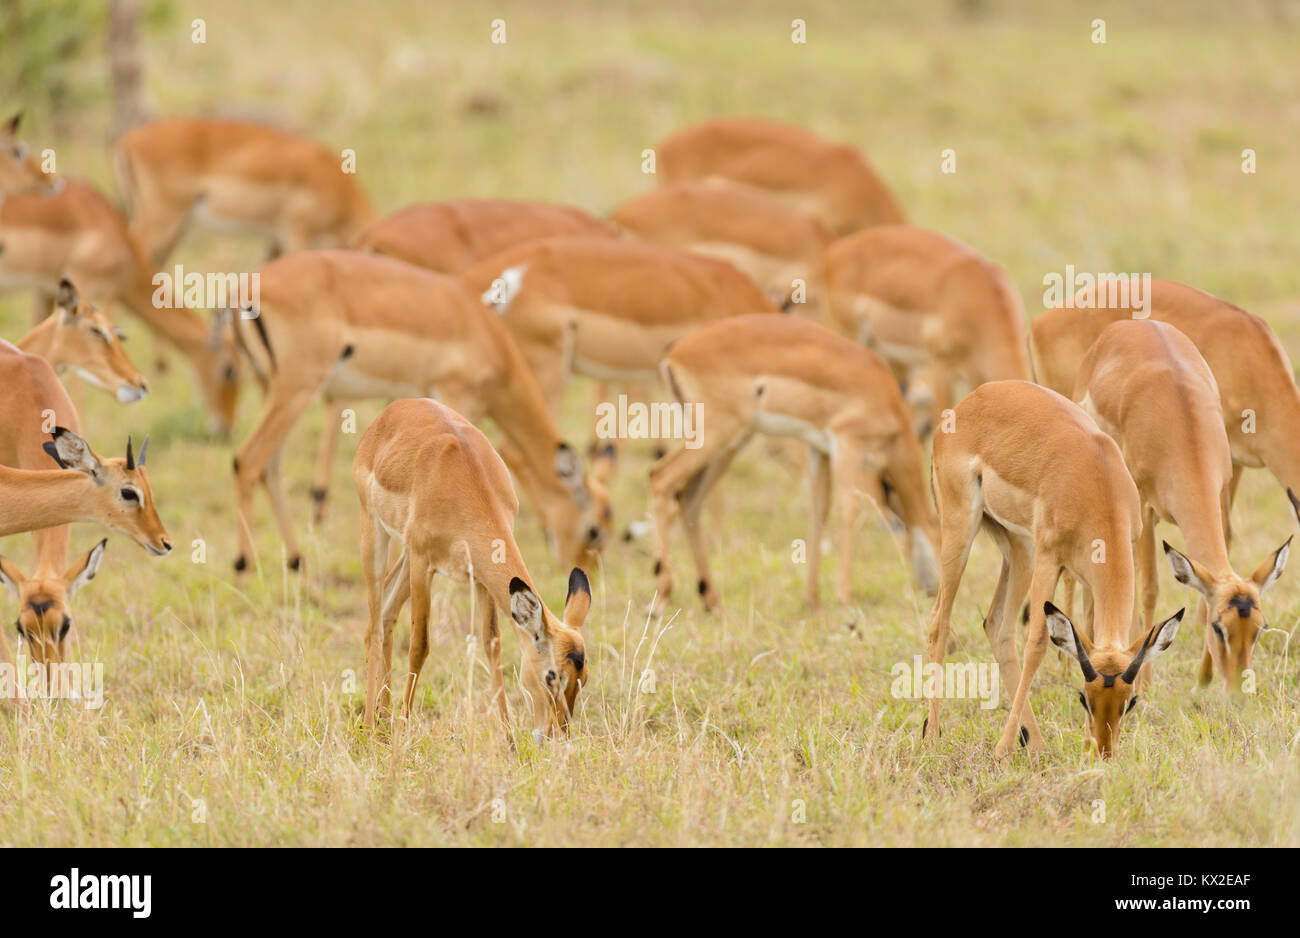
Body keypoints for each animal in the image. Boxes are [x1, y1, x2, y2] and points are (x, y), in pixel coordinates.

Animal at [227, 250, 609, 576]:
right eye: (594, 529)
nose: (582, 570)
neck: (485, 332)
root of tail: (245, 290)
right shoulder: (454, 396)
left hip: (272, 387)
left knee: (269, 468)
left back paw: (298, 563)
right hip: (296, 389)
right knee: (247, 460)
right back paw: (244, 568)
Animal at [354, 398, 591, 738]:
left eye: (583, 679)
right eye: (552, 675)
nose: (557, 734)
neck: (466, 481)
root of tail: (396, 408)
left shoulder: (481, 578)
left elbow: (492, 646)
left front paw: (509, 739)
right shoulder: (425, 564)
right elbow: (419, 646)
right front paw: (404, 731)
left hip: (407, 557)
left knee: (386, 611)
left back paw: (382, 721)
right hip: (377, 534)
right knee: (374, 622)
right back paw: (372, 727)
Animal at [648, 314, 938, 612]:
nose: (933, 591)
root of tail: (674, 354)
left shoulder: (819, 450)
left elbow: (819, 511)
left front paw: (813, 599)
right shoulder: (846, 444)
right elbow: (849, 510)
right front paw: (844, 599)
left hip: (729, 444)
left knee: (689, 498)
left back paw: (711, 599)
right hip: (716, 436)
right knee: (660, 477)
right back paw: (664, 593)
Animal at [923, 380, 1183, 759]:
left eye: (1130, 702)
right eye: (1084, 698)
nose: (1103, 752)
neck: (1098, 481)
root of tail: (969, 401)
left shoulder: (1094, 571)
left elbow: (1090, 628)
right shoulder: (1050, 559)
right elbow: (1037, 643)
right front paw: (1001, 749)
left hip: (1019, 548)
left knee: (997, 625)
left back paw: (1036, 743)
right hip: (963, 531)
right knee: (940, 623)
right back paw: (932, 735)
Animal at [1072, 319, 1289, 692]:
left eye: (1259, 629)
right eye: (1219, 628)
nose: (1237, 689)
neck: (1182, 425)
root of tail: (1129, 325)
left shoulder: (1219, 490)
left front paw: (1202, 679)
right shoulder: (1144, 510)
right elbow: (1149, 589)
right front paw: (1143, 683)